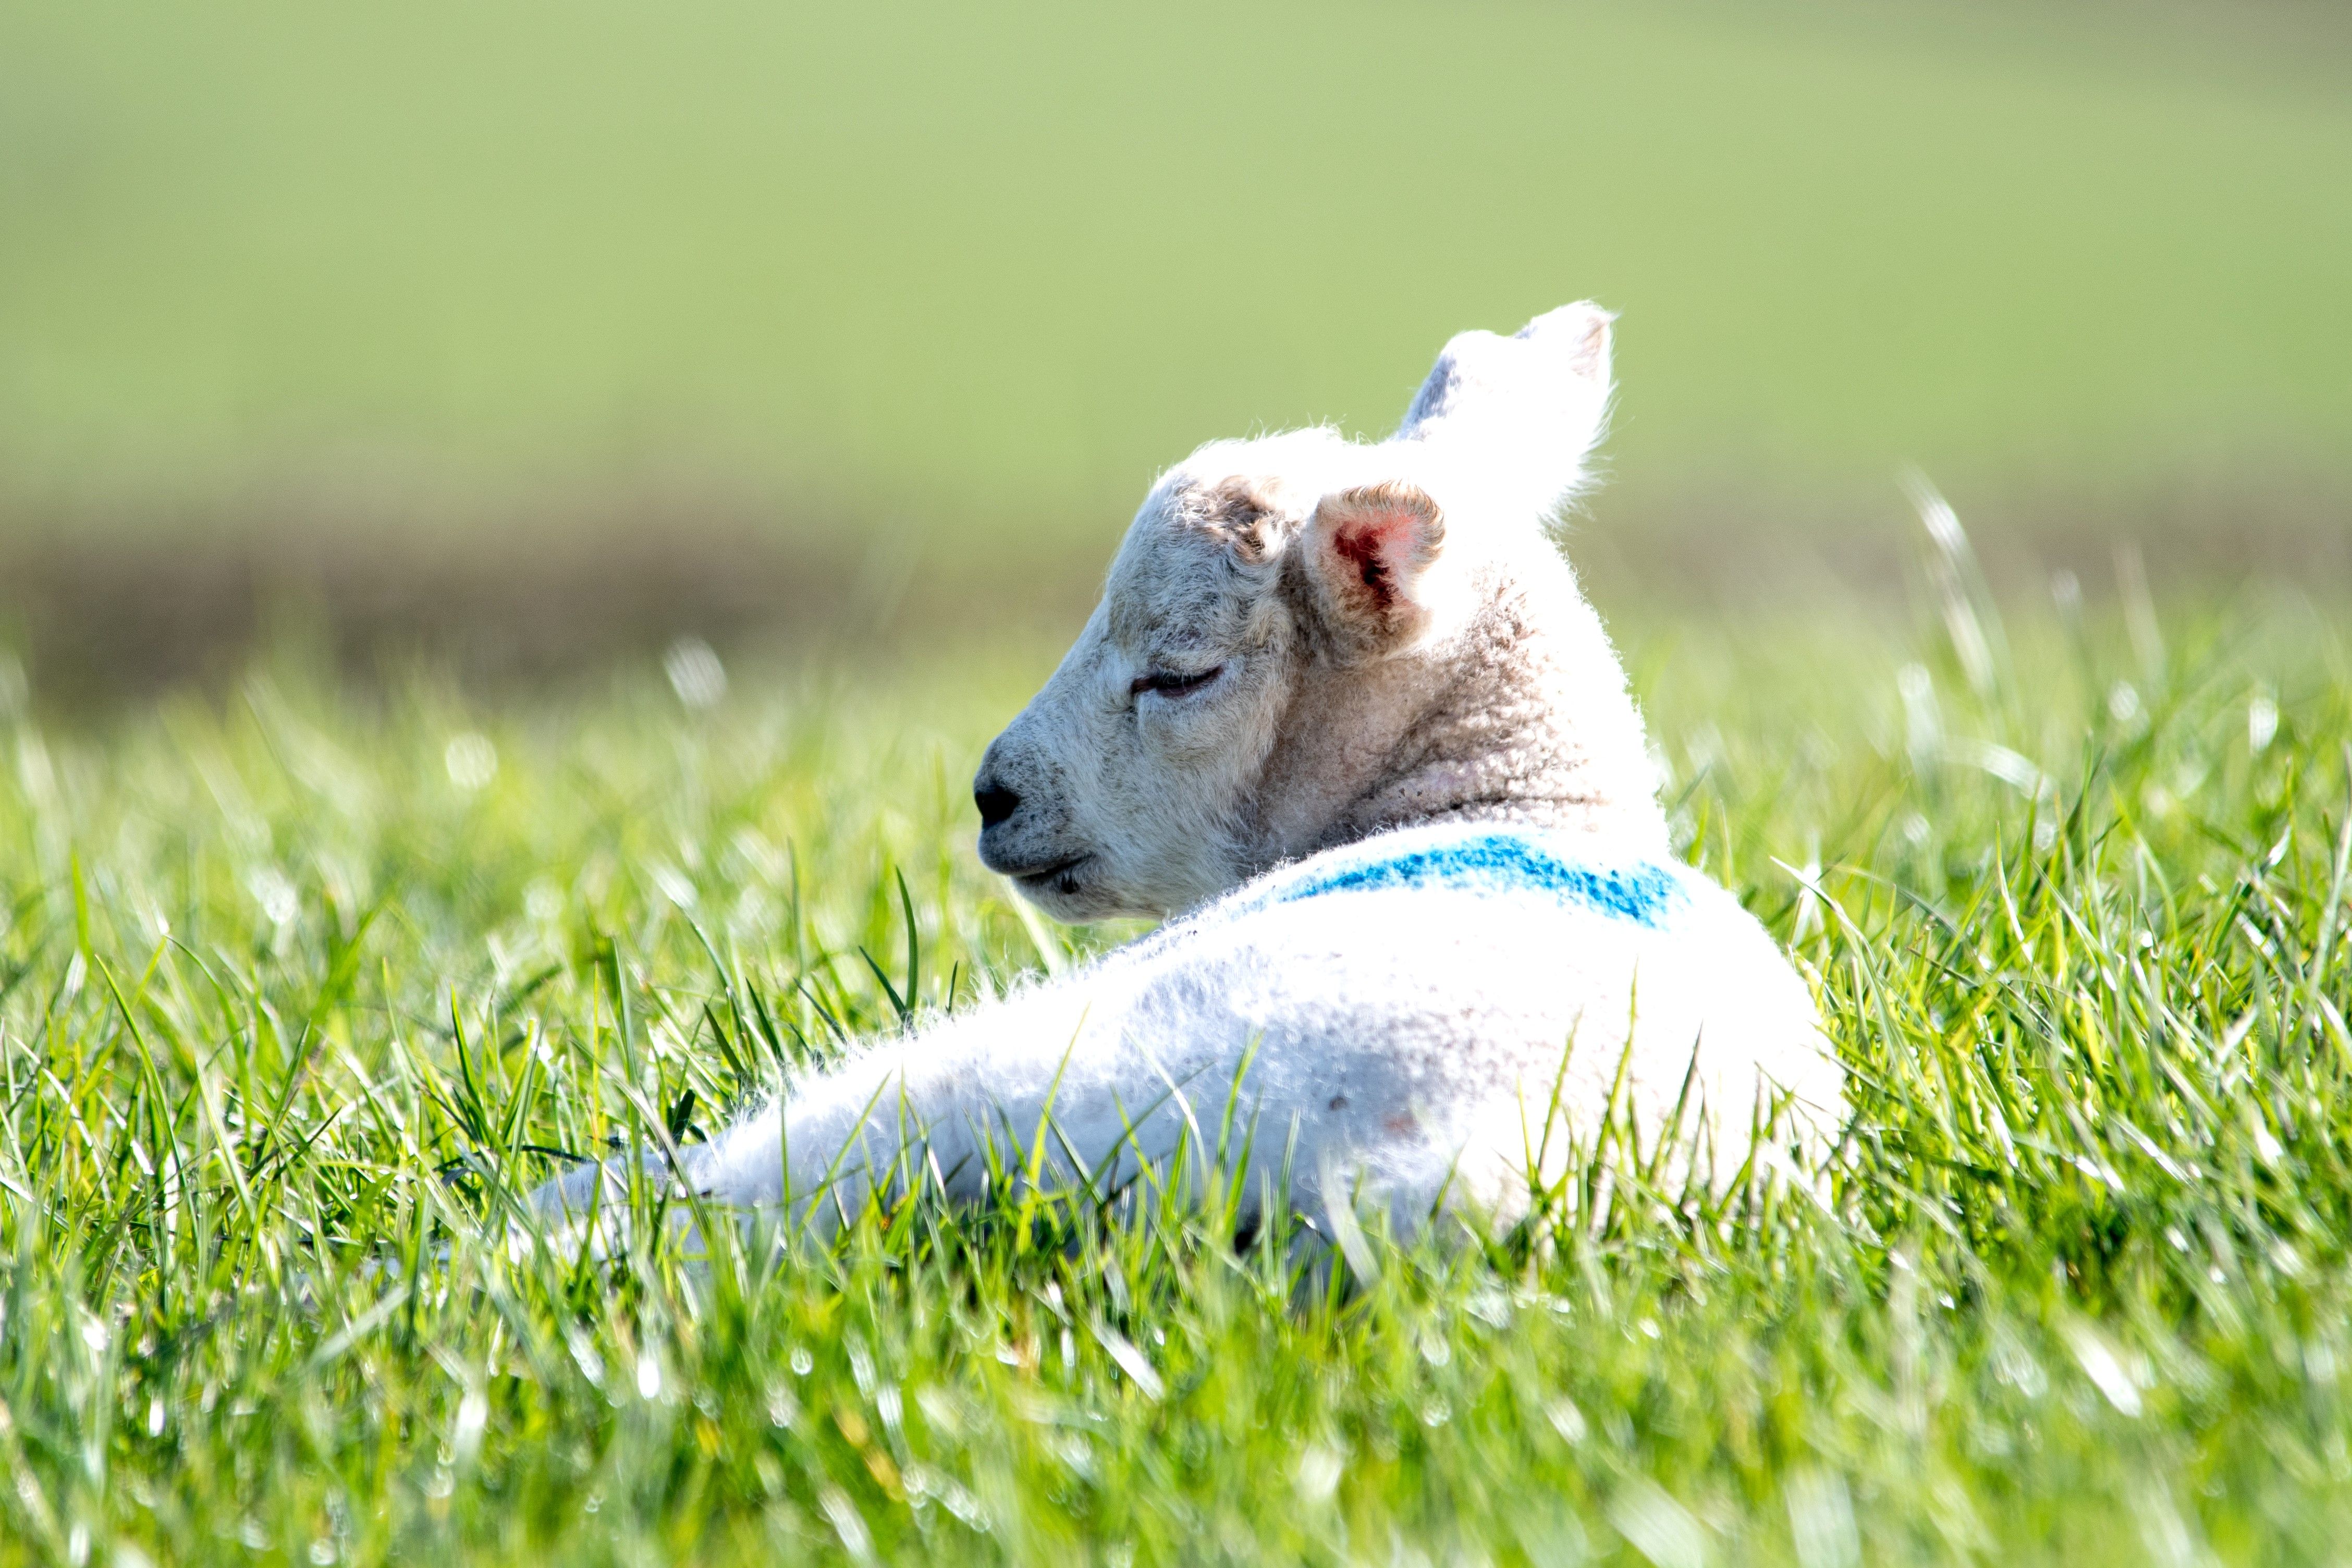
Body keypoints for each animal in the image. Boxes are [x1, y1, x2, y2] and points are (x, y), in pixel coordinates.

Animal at [535, 303, 1843, 1248]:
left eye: (1180, 670)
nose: (994, 794)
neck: (1528, 792)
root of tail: (1459, 1167)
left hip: (1023, 1080)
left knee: (738, 1197)